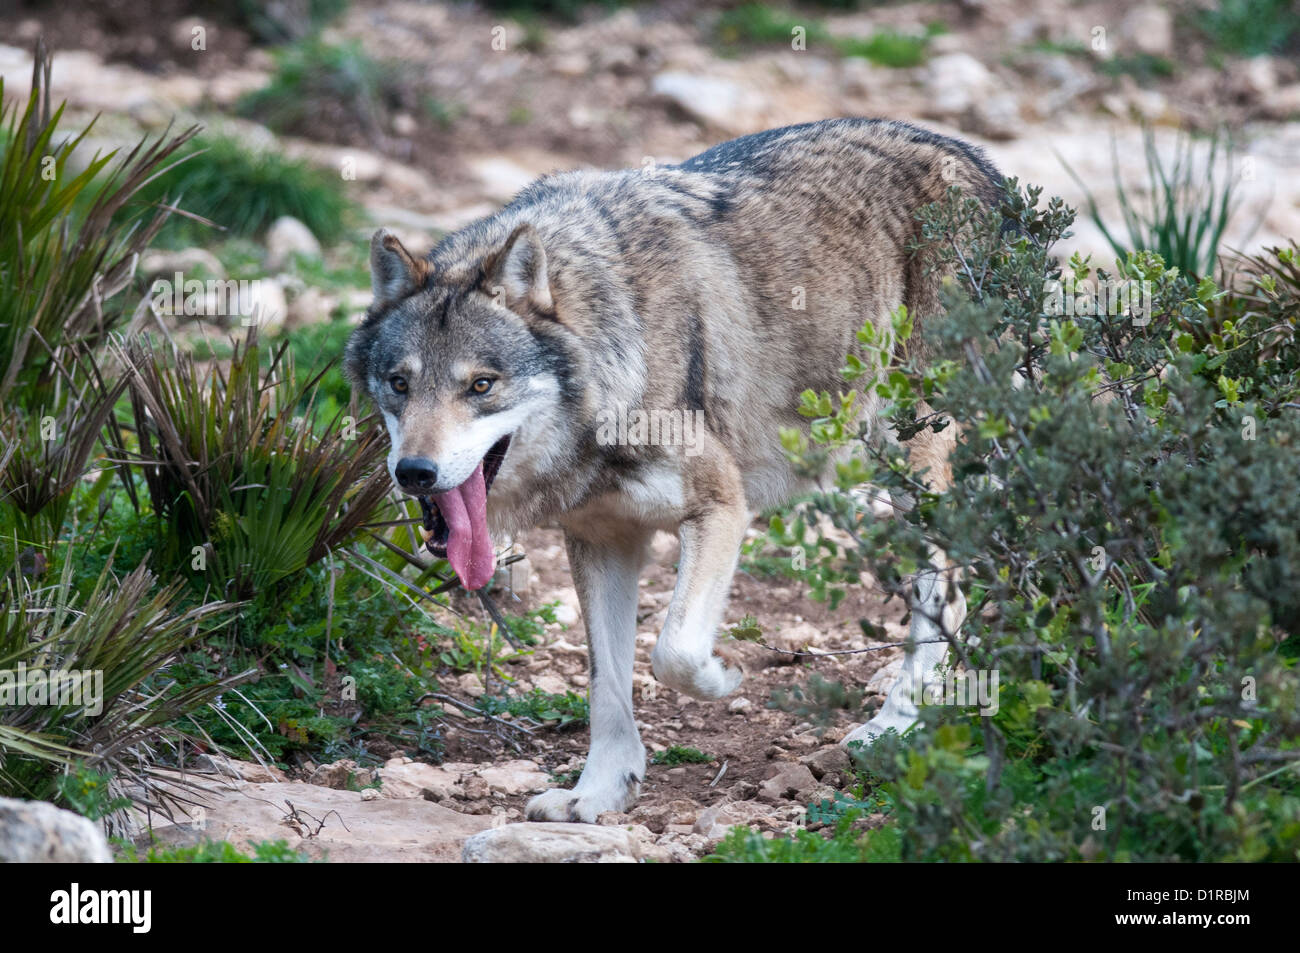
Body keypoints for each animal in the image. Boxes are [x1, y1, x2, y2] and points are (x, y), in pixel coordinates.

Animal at [345, 118, 1003, 822]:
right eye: (399, 383)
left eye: (481, 385)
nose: (414, 472)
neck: (616, 360)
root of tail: (979, 162)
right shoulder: (602, 539)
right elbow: (606, 685)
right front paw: (598, 793)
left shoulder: (721, 508)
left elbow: (674, 653)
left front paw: (725, 673)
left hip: (917, 468)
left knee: (947, 593)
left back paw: (894, 726)